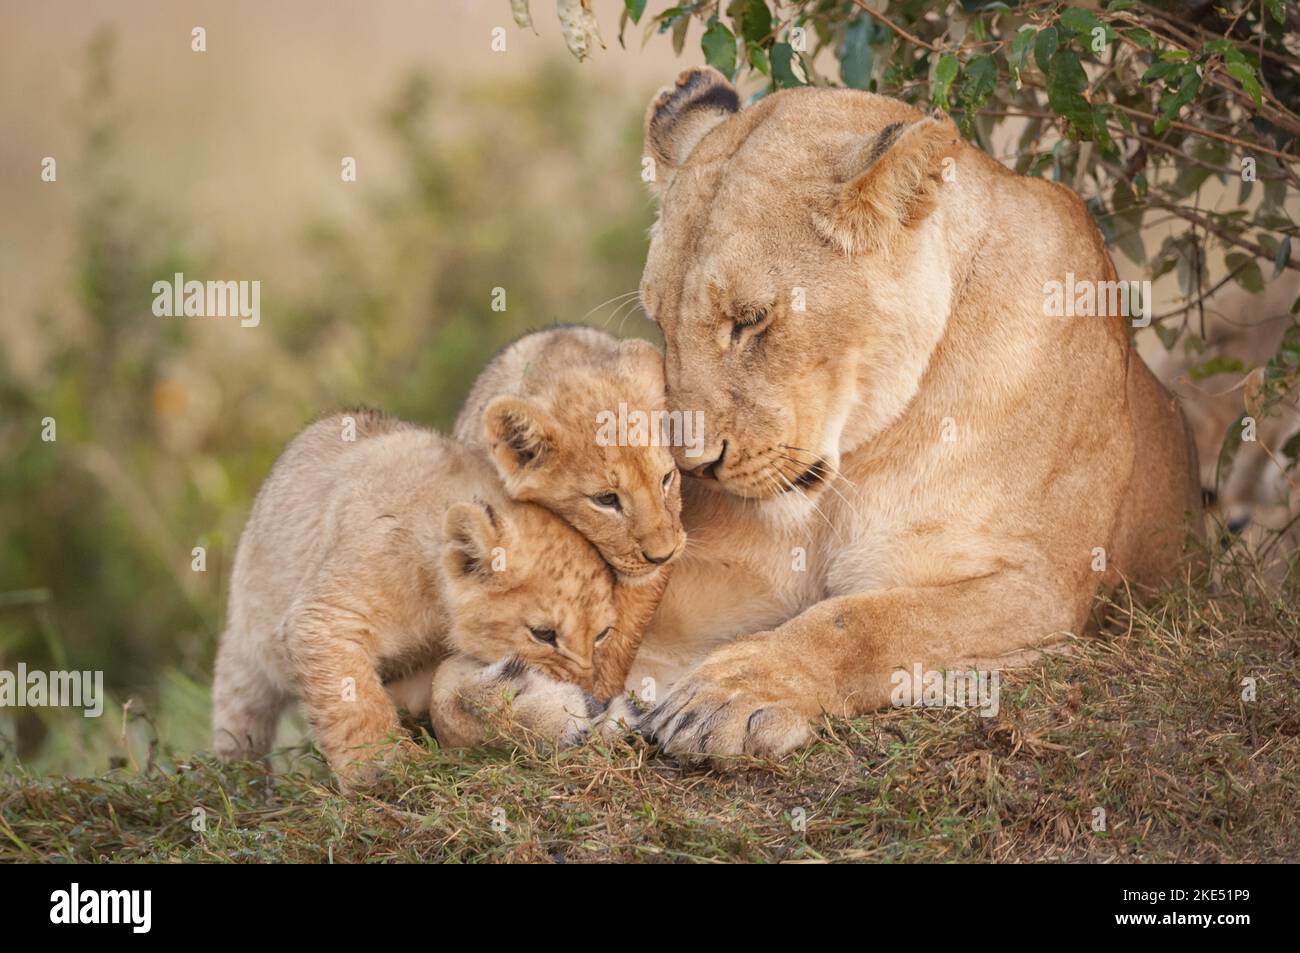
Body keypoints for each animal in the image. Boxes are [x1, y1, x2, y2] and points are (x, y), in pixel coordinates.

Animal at [211, 410, 616, 780]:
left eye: (602, 635)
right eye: (544, 635)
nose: (596, 697)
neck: (434, 604)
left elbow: (444, 692)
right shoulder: (326, 616)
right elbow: (352, 700)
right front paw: (386, 769)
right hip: (246, 650)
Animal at [619, 67, 1201, 757]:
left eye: (751, 320)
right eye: (660, 324)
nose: (691, 467)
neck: (851, 465)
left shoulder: (1041, 589)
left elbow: (862, 622)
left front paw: (729, 693)